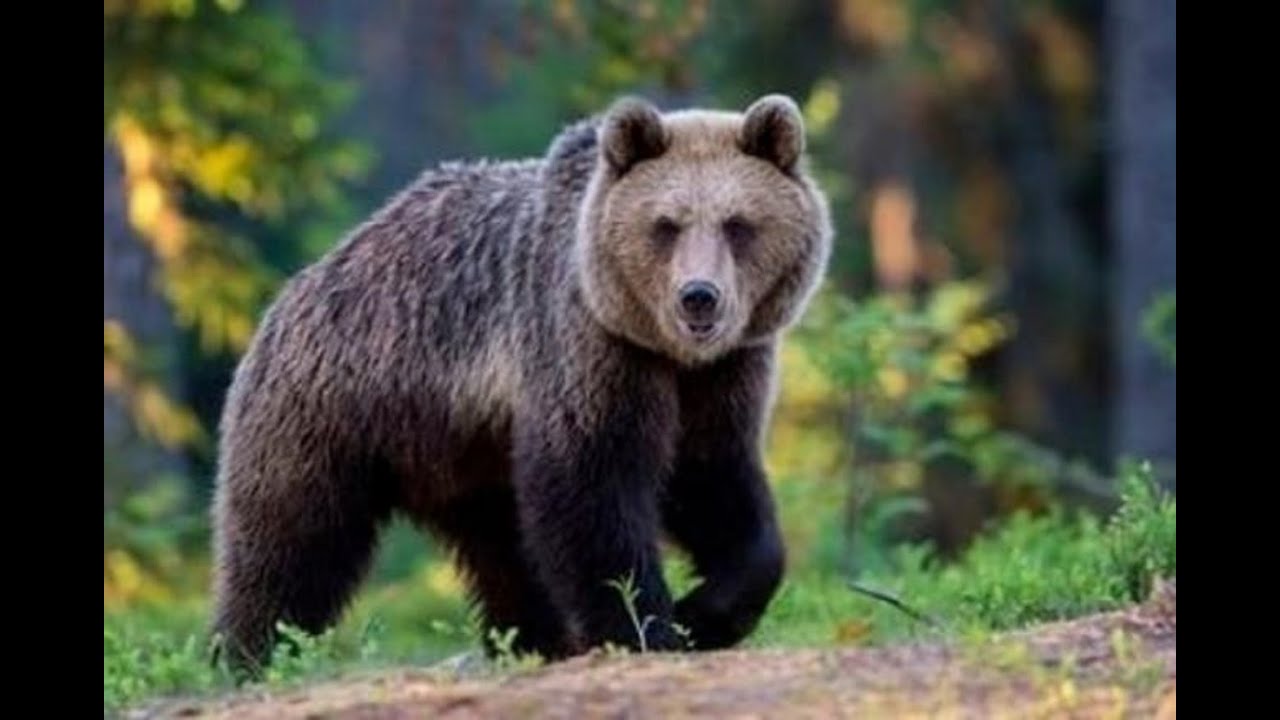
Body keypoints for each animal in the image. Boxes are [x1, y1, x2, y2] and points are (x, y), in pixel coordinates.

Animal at [211, 94, 833, 673]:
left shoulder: (723, 373)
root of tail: (294, 290)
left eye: (738, 224)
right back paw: (252, 655)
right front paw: (649, 626)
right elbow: (592, 490)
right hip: (334, 410)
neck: (670, 352)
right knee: (290, 542)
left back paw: (532, 639)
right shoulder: (588, 349)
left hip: (468, 459)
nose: (699, 297)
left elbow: (715, 482)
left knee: (504, 551)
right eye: (666, 225)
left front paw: (703, 612)